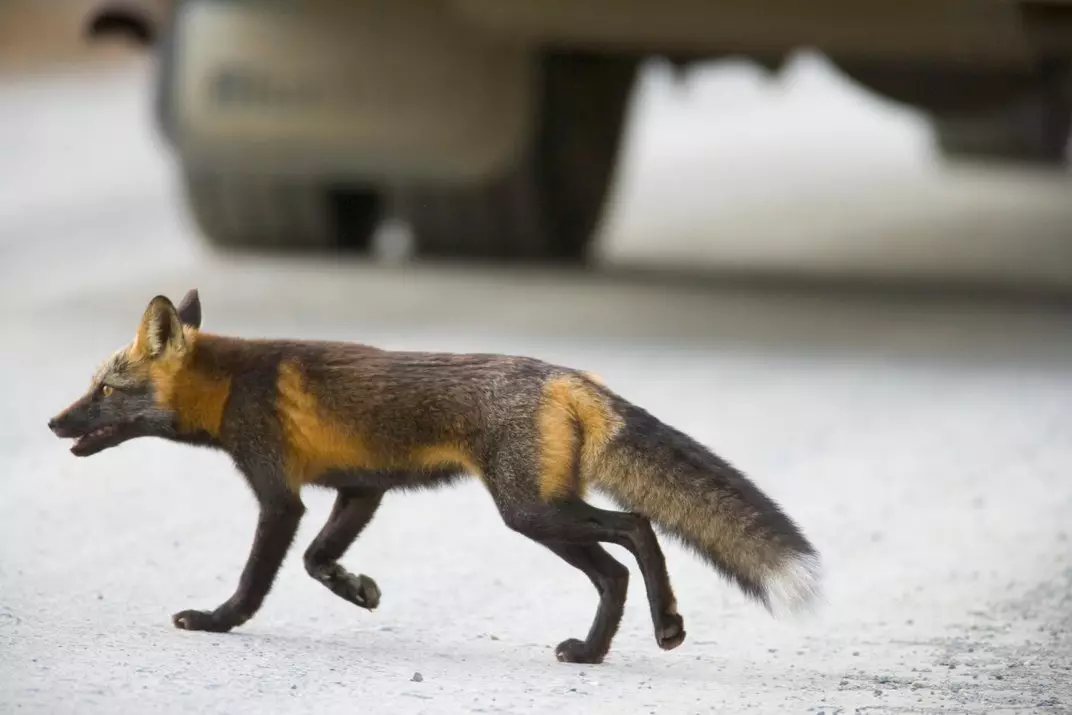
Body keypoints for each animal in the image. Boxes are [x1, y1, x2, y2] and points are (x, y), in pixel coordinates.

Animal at [48, 289, 819, 664]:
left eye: (105, 390)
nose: (55, 422)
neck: (234, 384)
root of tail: (567, 375)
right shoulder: (362, 487)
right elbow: (318, 559)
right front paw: (357, 589)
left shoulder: (279, 495)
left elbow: (258, 576)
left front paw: (216, 621)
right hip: (543, 510)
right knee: (615, 570)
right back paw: (595, 651)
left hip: (530, 511)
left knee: (635, 531)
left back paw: (663, 626)